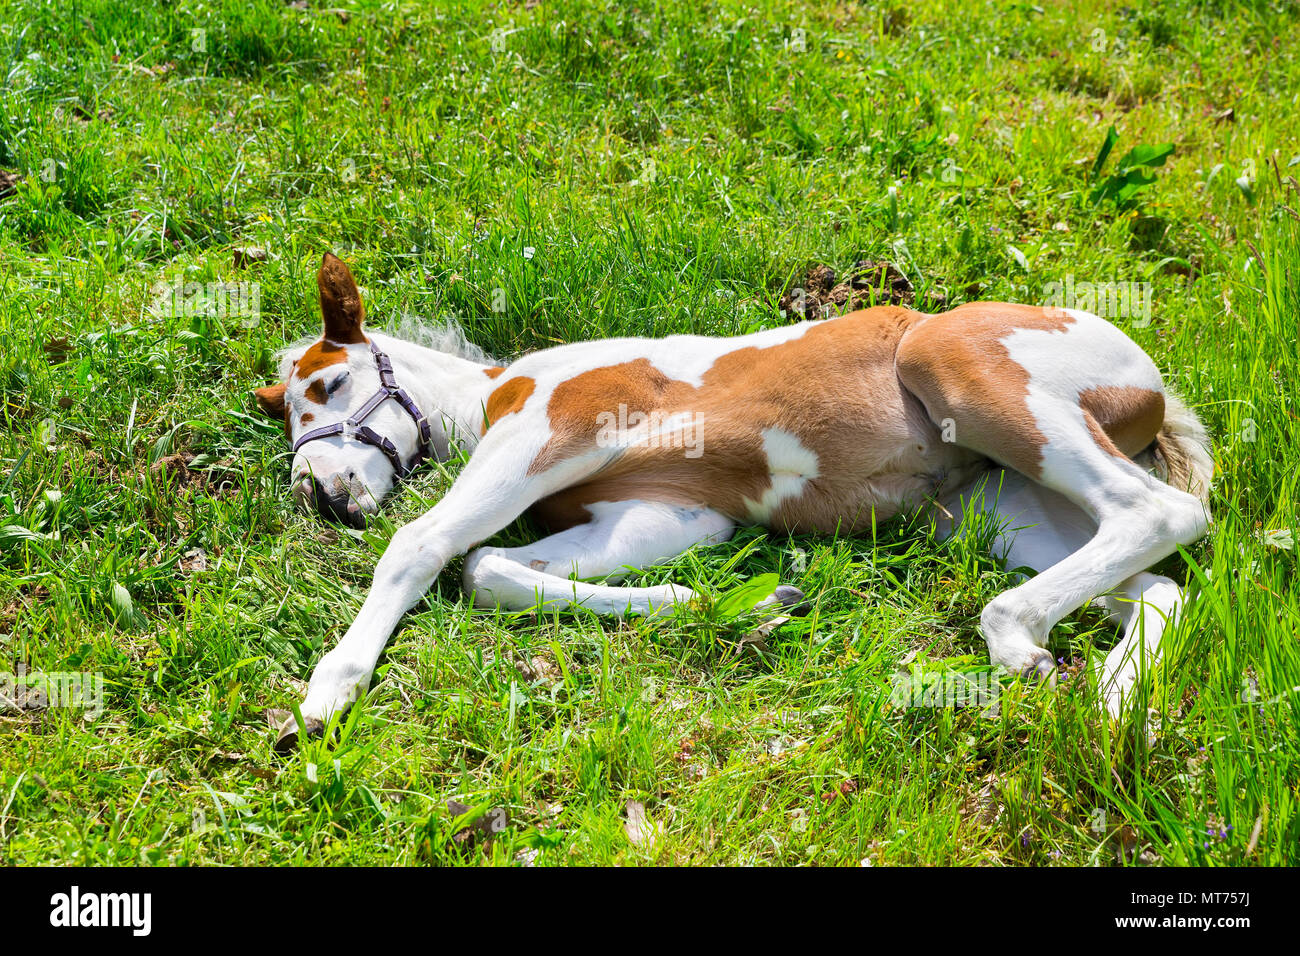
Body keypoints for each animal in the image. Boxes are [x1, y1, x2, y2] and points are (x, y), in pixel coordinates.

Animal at [254, 254, 1212, 752]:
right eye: (288, 417)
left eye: (331, 385)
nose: (320, 492)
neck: (503, 388)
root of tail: (1152, 383)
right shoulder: (667, 513)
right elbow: (492, 569)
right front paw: (737, 604)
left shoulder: (554, 433)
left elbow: (425, 545)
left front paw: (330, 688)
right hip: (998, 511)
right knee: (1158, 581)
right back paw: (1116, 712)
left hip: (970, 379)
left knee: (1163, 515)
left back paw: (1023, 648)